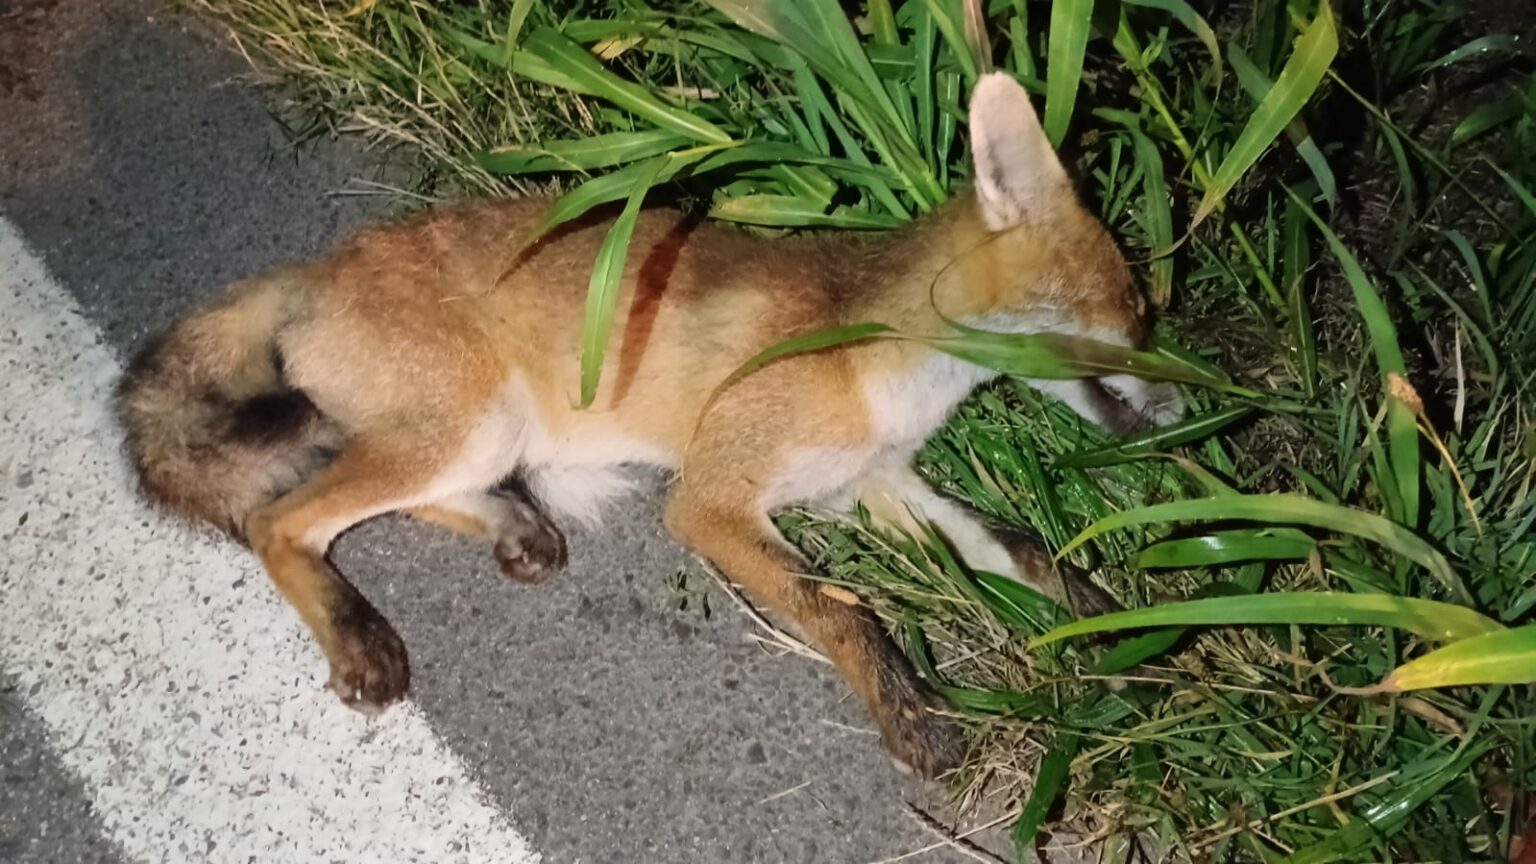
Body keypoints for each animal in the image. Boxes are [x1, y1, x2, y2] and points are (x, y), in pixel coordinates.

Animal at [117, 72, 1180, 778]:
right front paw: (912, 720)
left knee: (386, 496)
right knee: (281, 518)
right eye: (1130, 307)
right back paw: (361, 637)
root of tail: (318, 267)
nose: (1185, 406)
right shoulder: (714, 500)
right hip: (471, 422)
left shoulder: (872, 484)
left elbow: (1019, 554)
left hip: (483, 436)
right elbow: (846, 612)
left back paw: (516, 528)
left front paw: (1118, 631)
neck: (880, 362)